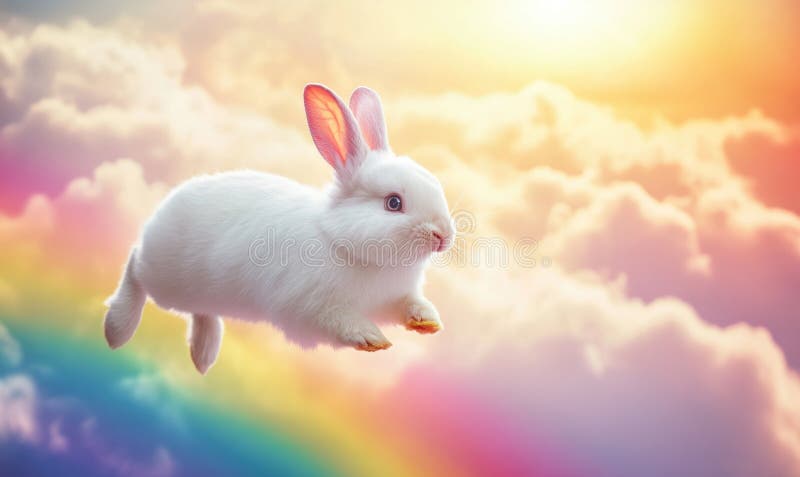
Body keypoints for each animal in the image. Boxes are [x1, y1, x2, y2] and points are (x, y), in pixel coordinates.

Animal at [103, 84, 455, 374]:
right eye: (393, 203)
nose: (444, 237)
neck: (343, 242)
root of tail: (164, 209)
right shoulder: (313, 308)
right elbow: (343, 322)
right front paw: (372, 338)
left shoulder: (394, 298)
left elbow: (411, 303)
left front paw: (428, 322)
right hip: (166, 279)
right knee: (134, 267)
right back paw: (117, 329)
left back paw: (203, 354)